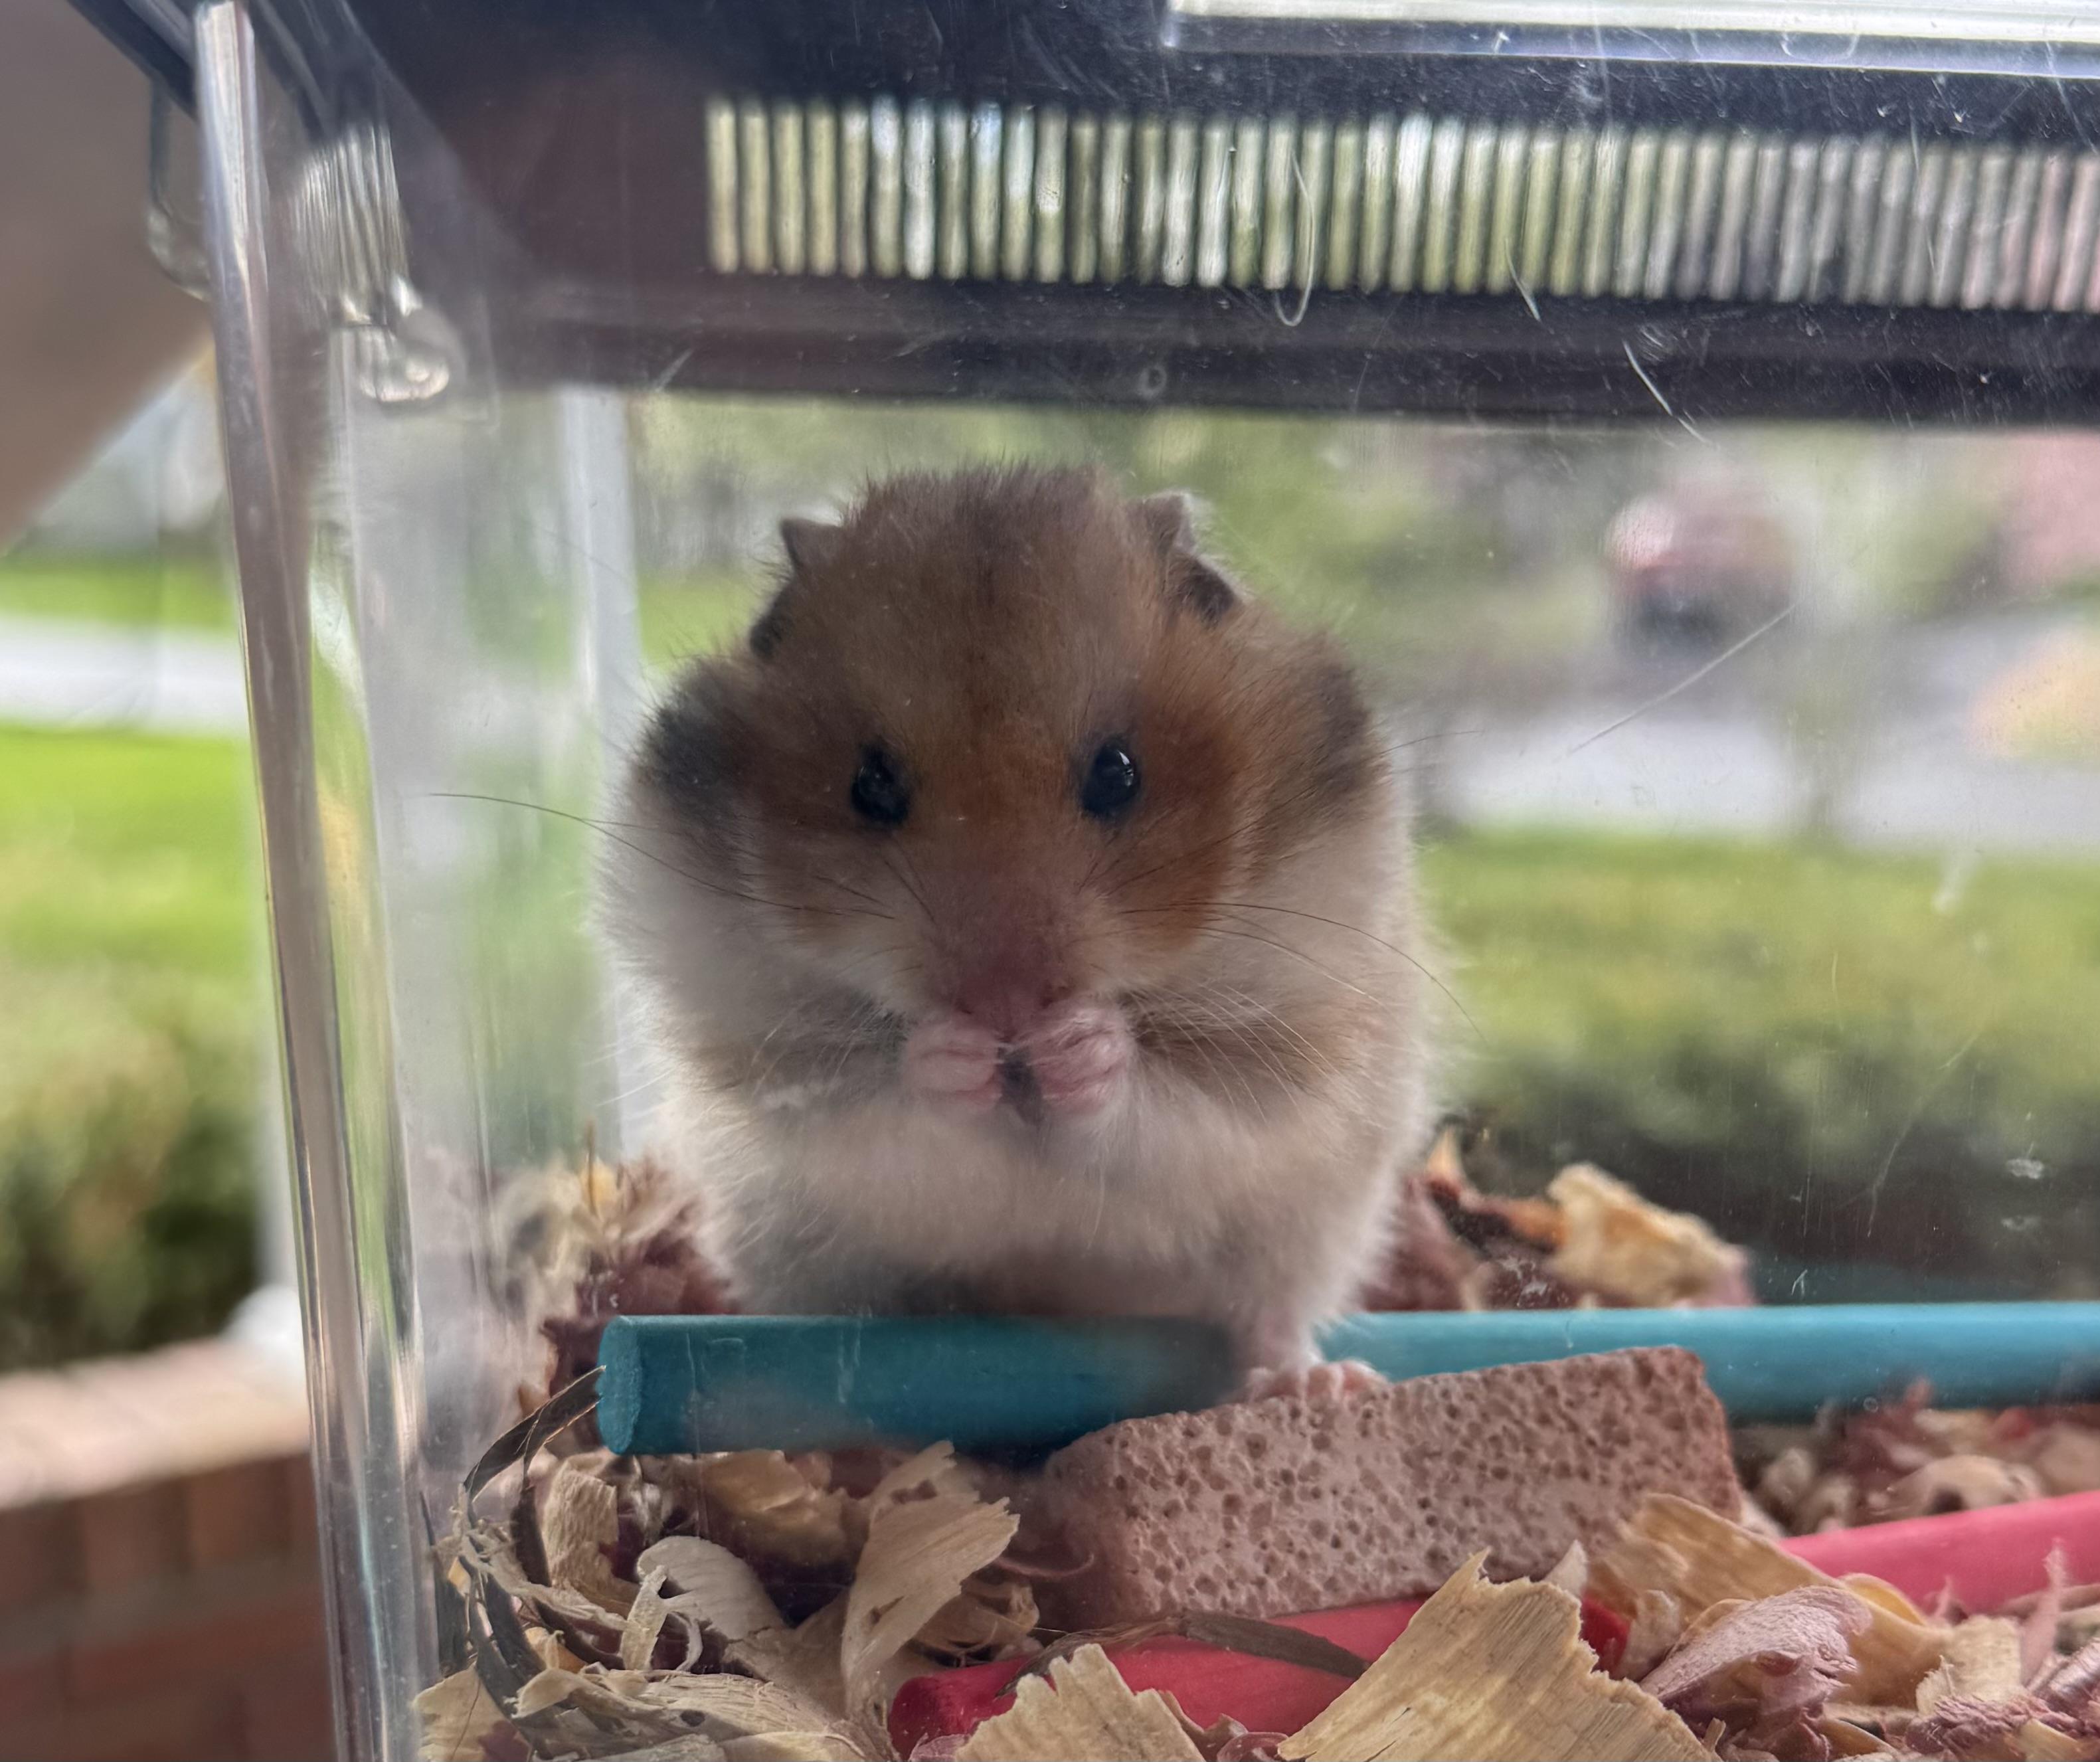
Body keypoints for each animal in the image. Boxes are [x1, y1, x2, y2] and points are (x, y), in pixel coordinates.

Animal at [607, 464, 1432, 1391]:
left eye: (1119, 773)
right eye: (871, 786)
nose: (1005, 1006)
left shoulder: (1283, 1054)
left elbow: (1165, 1101)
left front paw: (1078, 1045)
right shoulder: (779, 1074)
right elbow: (891, 1102)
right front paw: (955, 1053)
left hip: (1317, 1223)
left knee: (1272, 1313)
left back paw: (1317, 1381)